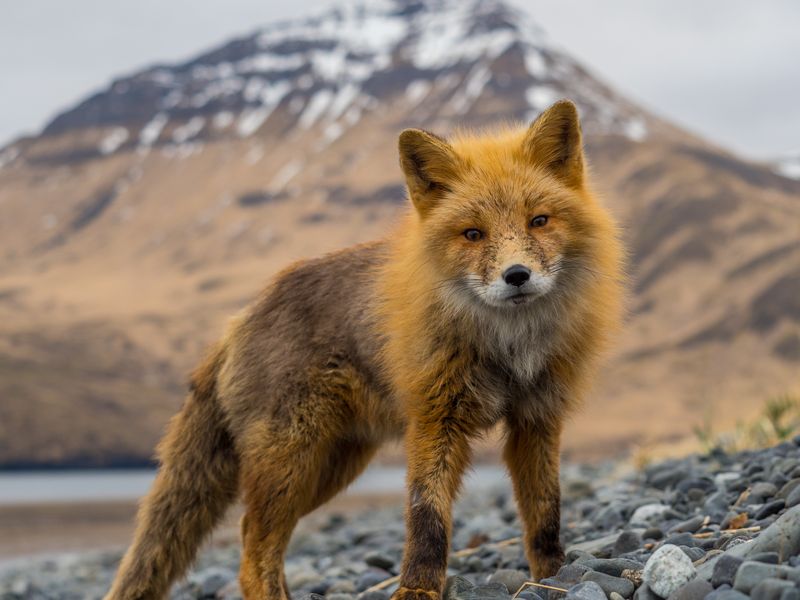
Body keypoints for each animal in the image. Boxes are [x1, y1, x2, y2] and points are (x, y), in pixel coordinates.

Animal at [104, 99, 623, 600]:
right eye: (473, 234)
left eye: (539, 221)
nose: (516, 275)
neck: (509, 349)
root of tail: (239, 318)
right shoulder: (435, 419)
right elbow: (427, 517)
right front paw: (416, 589)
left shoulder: (537, 417)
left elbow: (545, 513)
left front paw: (554, 576)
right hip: (292, 459)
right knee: (252, 548)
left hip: (330, 467)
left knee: (262, 539)